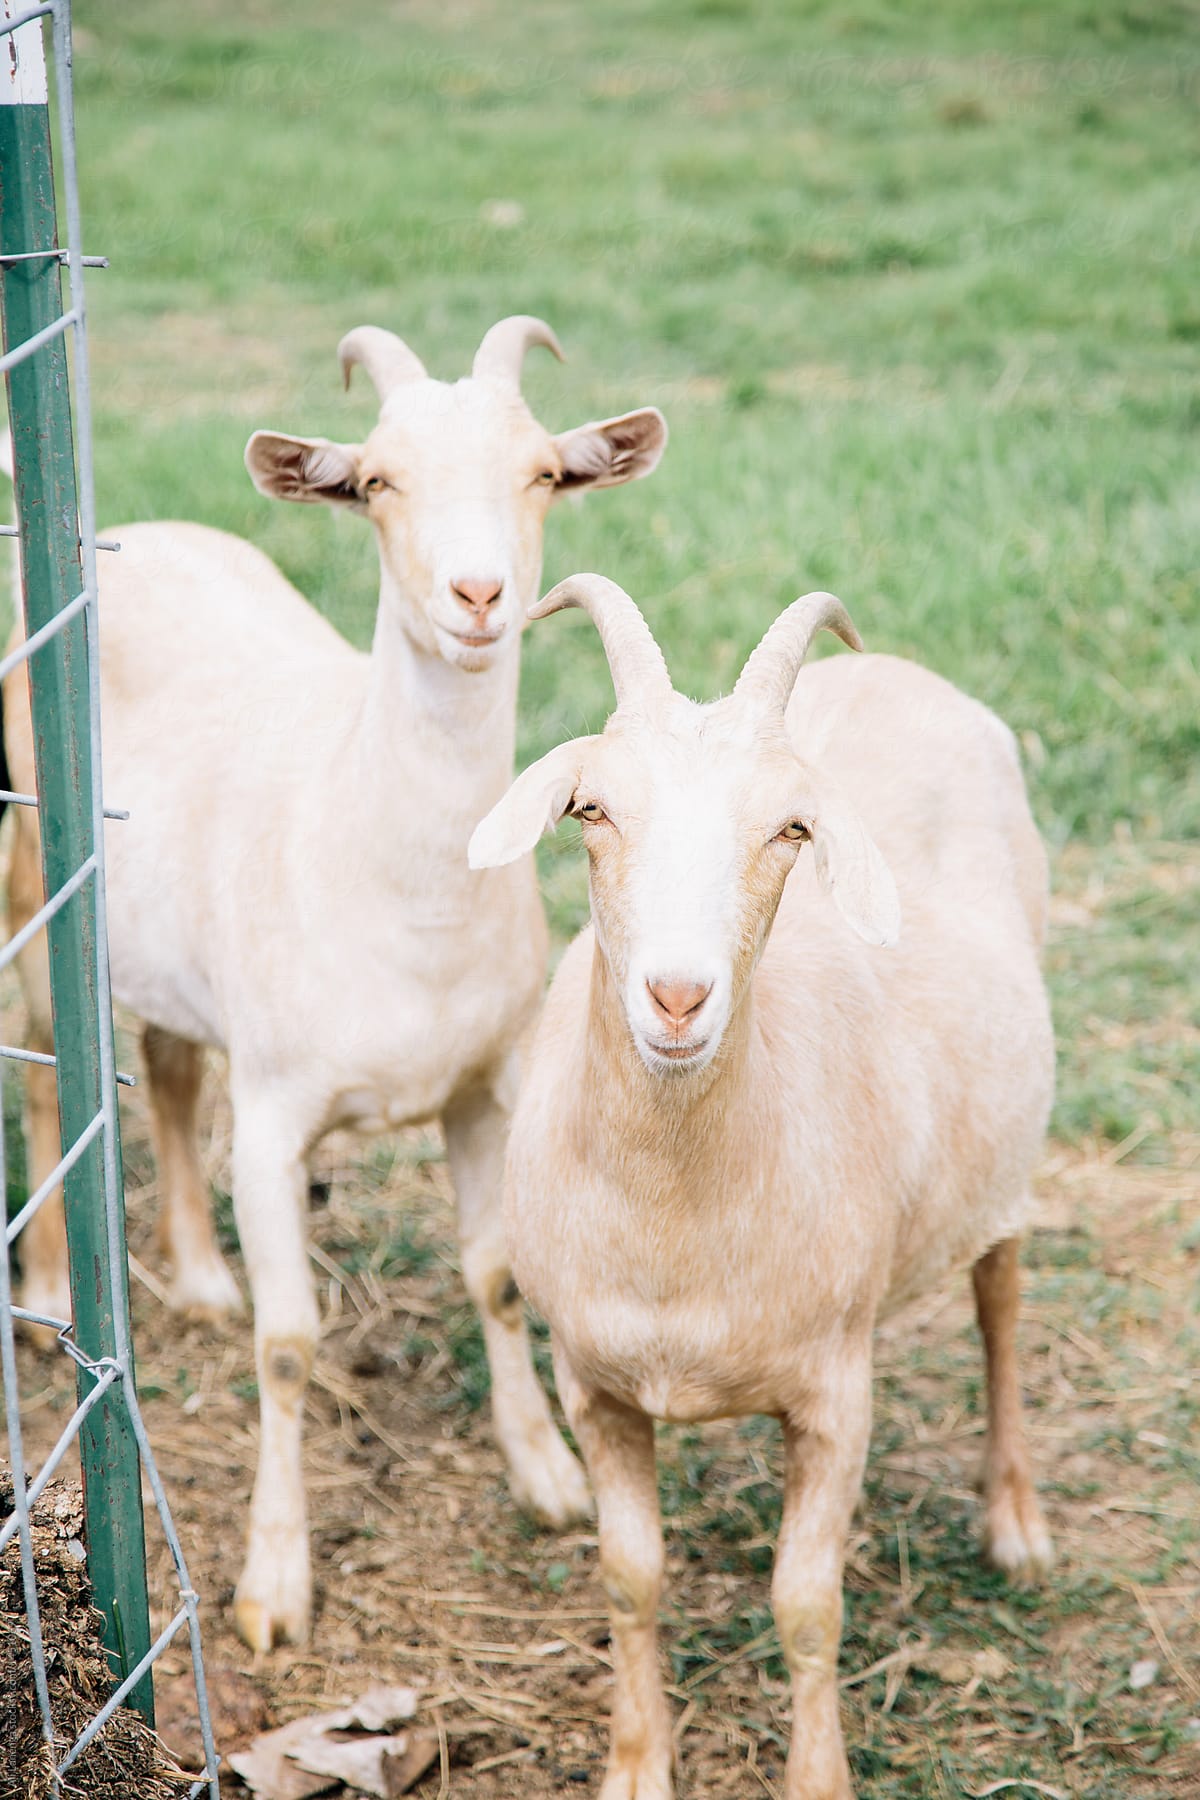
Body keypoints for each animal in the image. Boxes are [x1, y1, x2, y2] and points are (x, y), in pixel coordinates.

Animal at [2, 324, 666, 1651]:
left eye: (543, 474)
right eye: (375, 482)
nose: (478, 597)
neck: (399, 889)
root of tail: (137, 532)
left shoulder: (484, 1090)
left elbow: (495, 1275)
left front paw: (546, 1469)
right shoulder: (274, 1118)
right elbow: (289, 1346)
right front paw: (272, 1584)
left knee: (167, 1063)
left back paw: (200, 1275)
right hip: (39, 860)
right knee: (45, 1057)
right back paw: (48, 1283)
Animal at [469, 574, 1054, 1800]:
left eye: (792, 828)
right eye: (589, 810)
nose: (677, 996)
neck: (675, 1219)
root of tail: (893, 669)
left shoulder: (835, 1396)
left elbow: (804, 1605)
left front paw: (816, 1776)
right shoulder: (590, 1385)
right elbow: (630, 1577)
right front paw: (636, 1766)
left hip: (1008, 1155)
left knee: (1001, 1298)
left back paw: (1015, 1518)